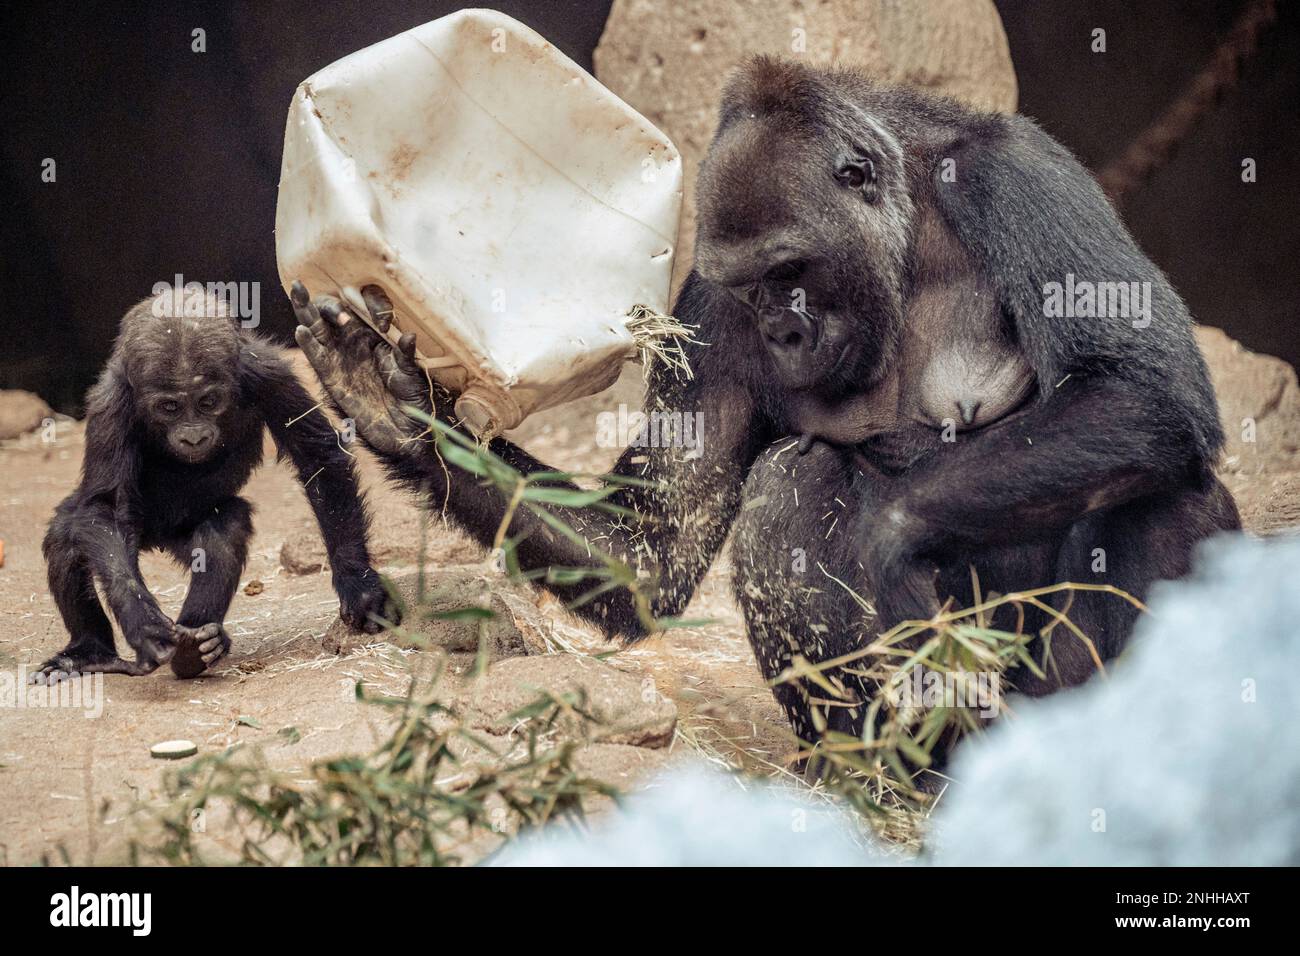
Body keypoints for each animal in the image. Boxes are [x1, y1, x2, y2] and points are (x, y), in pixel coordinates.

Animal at [32, 288, 398, 683]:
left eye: (208, 401)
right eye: (170, 407)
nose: (193, 436)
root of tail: (156, 540)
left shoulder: (269, 374)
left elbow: (317, 458)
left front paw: (357, 584)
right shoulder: (109, 405)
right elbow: (106, 506)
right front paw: (141, 620)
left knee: (225, 529)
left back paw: (197, 649)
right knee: (67, 536)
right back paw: (89, 651)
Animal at [288, 56, 1239, 754]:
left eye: (791, 269)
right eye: (754, 287)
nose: (784, 333)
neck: (901, 233)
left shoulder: (1013, 175)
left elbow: (1139, 388)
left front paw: (889, 532)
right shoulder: (707, 303)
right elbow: (652, 544)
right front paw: (399, 408)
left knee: (1168, 489)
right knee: (792, 482)